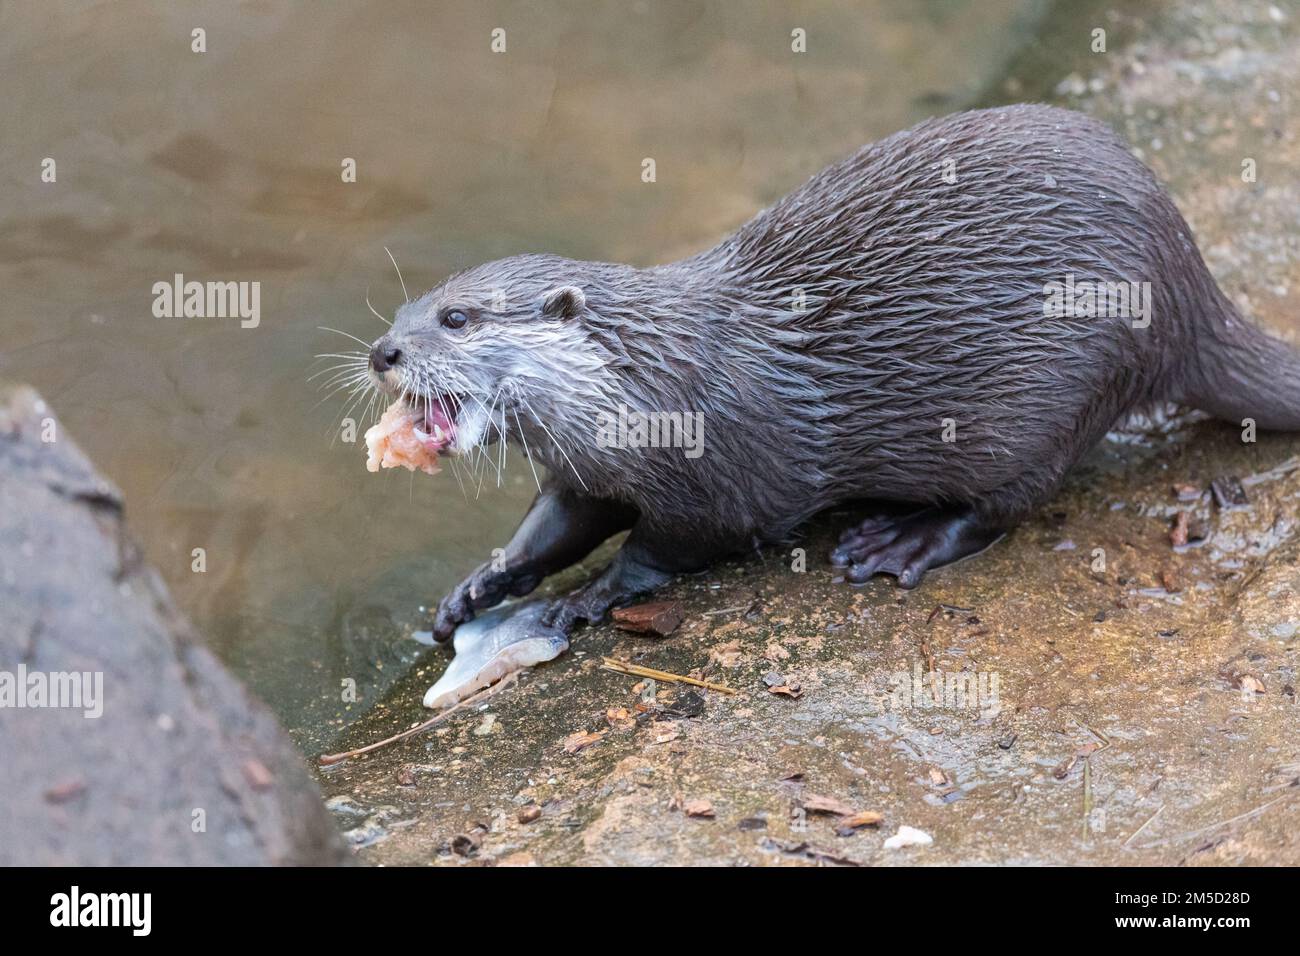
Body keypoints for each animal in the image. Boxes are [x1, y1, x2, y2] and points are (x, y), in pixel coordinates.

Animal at [362, 104, 1300, 641]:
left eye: (457, 318)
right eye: (408, 309)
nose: (383, 352)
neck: (651, 384)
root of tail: (1186, 283)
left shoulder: (724, 472)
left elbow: (670, 545)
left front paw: (588, 596)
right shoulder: (588, 468)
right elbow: (557, 523)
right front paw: (478, 586)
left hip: (1057, 398)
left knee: (1011, 501)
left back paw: (902, 541)